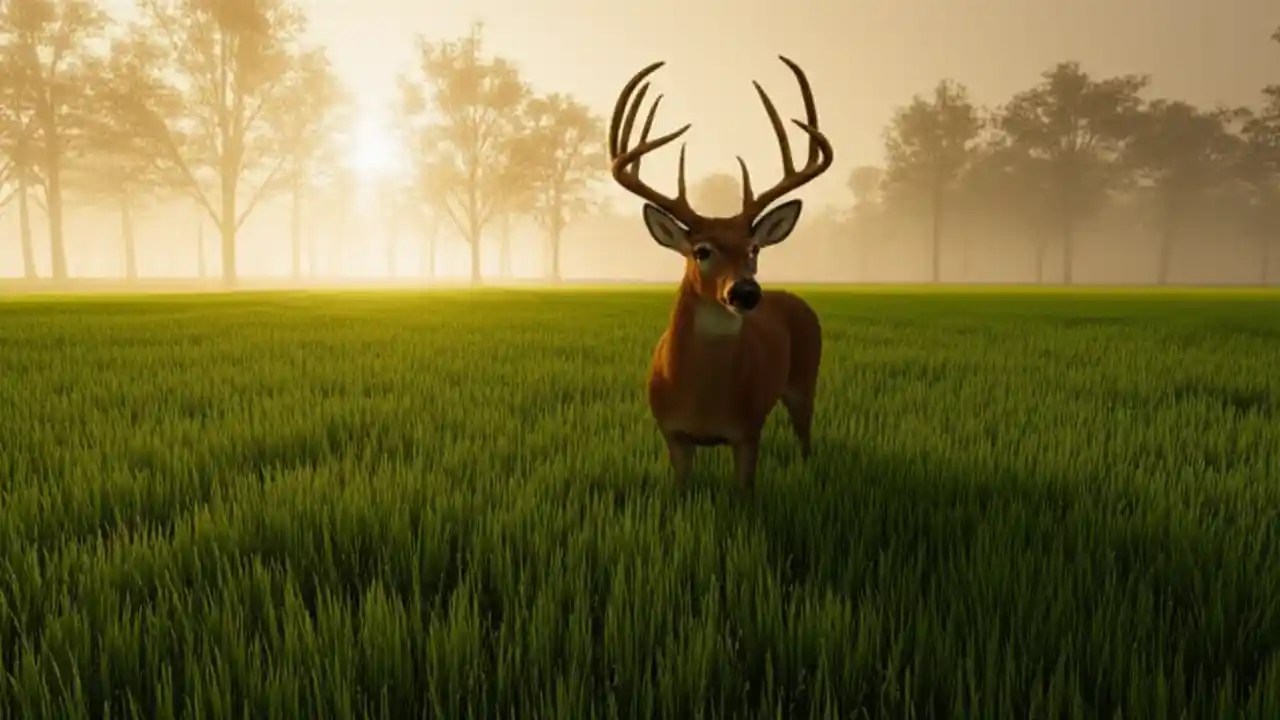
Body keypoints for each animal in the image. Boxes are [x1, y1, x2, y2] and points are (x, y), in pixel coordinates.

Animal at [608, 56, 834, 492]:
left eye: (754, 249)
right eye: (702, 251)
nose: (745, 291)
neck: (704, 404)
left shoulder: (747, 432)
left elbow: (744, 493)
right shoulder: (673, 434)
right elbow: (682, 490)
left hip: (805, 377)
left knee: (806, 435)